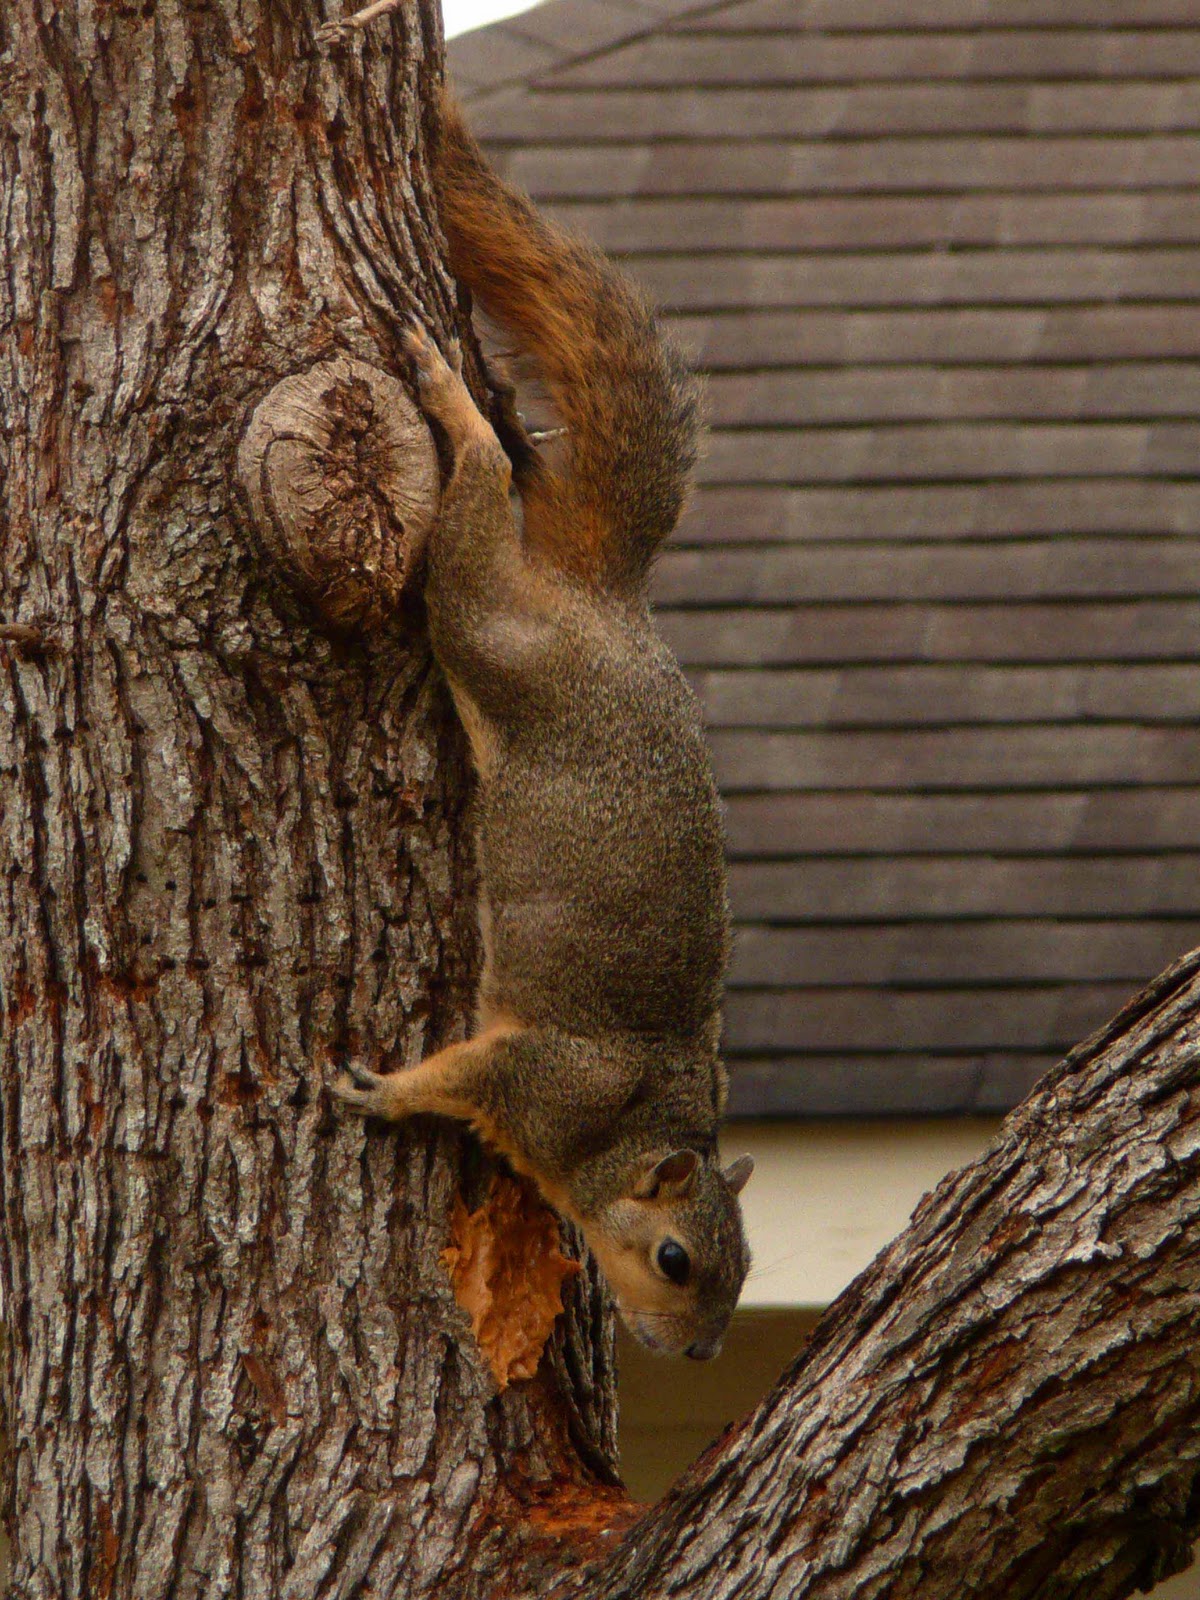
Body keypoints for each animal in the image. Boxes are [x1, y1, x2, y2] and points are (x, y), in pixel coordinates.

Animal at [334, 94, 754, 1362]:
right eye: (675, 1259)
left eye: (743, 1275)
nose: (697, 1351)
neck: (626, 1127)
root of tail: (602, 600)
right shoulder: (536, 1074)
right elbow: (461, 1080)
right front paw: (383, 1091)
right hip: (490, 626)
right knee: (471, 506)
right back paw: (461, 403)